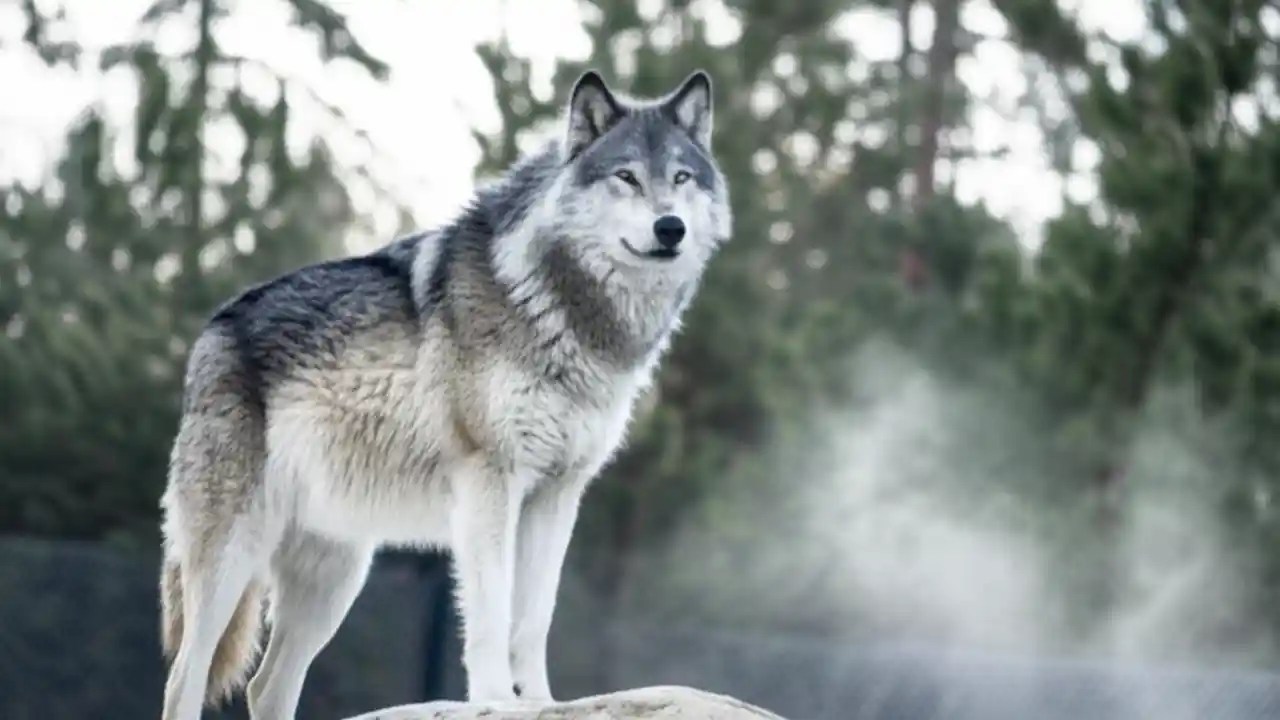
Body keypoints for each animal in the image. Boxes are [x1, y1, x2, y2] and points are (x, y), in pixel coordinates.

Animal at [158, 69, 731, 720]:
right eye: (627, 177)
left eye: (681, 178)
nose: (670, 227)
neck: (564, 308)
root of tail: (212, 331)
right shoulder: (490, 481)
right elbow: (490, 612)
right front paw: (494, 699)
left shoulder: (559, 494)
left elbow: (534, 617)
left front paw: (541, 700)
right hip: (233, 560)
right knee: (185, 676)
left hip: (335, 578)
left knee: (264, 684)